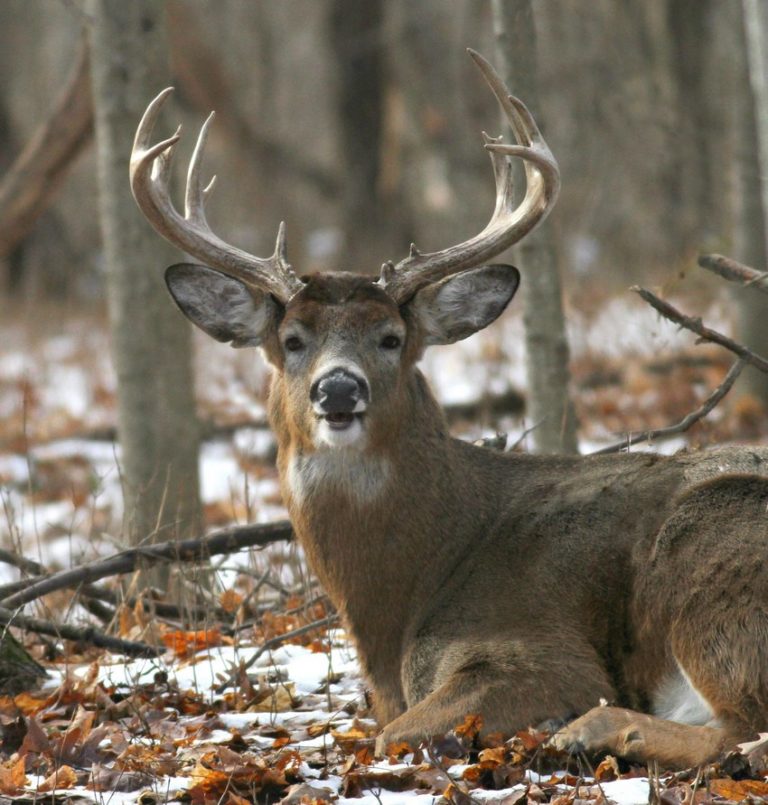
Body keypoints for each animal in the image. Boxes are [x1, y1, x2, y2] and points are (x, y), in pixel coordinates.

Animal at [130, 50, 768, 770]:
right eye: (292, 340)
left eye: (390, 337)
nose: (339, 390)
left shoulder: (543, 649)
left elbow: (392, 732)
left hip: (708, 553)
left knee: (741, 732)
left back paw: (582, 730)